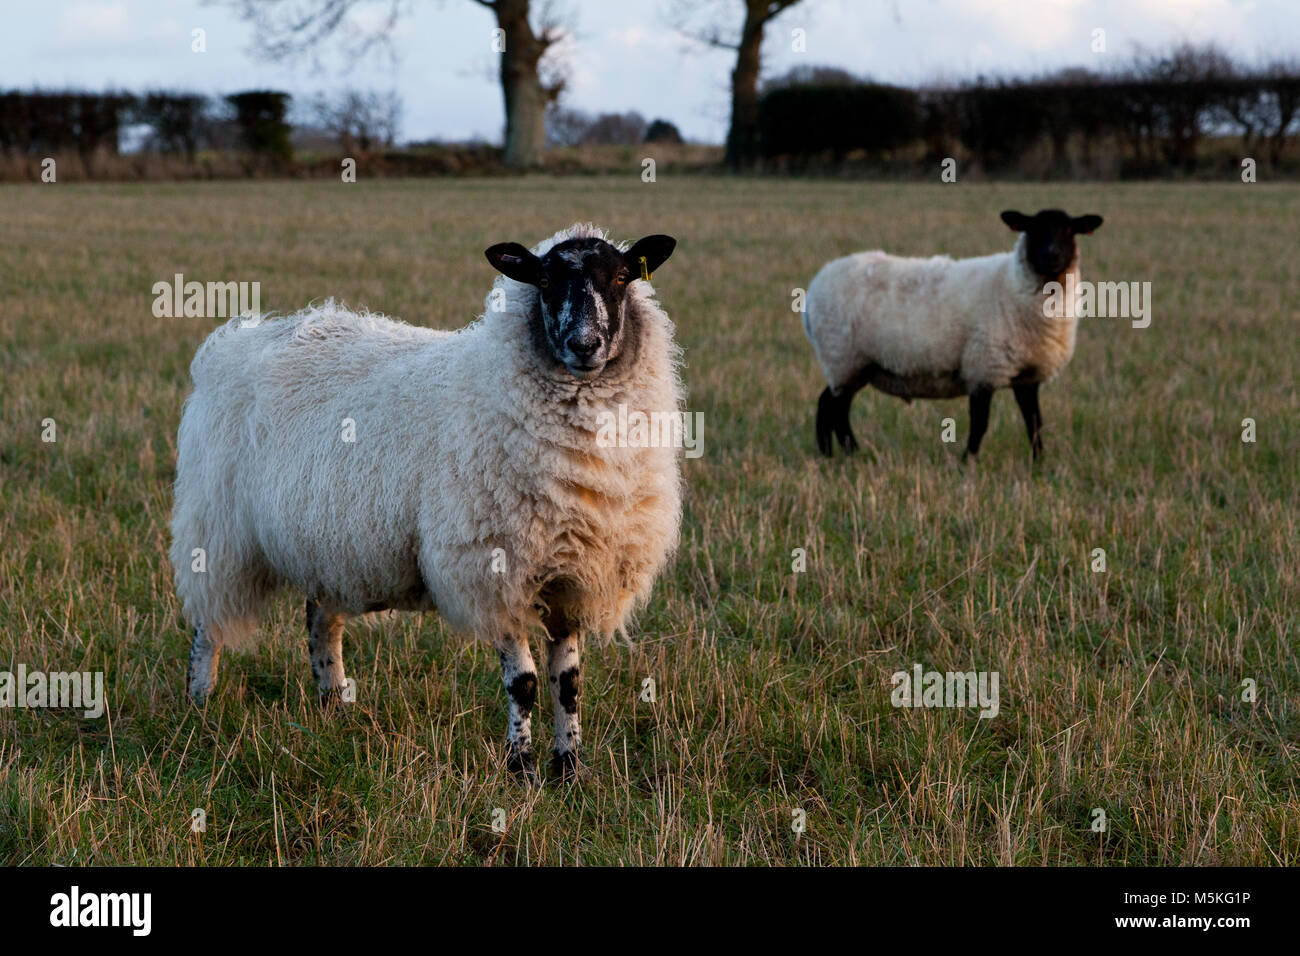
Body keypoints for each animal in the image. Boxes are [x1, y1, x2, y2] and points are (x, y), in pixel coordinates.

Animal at [170, 222, 681, 780]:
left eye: (622, 276)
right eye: (544, 281)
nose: (584, 344)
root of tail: (239, 340)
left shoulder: (574, 575)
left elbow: (567, 683)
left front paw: (569, 768)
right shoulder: (489, 571)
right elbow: (523, 683)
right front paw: (521, 768)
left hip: (329, 542)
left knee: (319, 620)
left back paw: (335, 703)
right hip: (218, 528)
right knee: (207, 625)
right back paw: (200, 702)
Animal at [803, 208, 1104, 461]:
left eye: (1070, 230)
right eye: (1033, 229)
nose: (1052, 256)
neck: (1011, 283)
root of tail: (813, 288)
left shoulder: (1027, 376)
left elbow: (1035, 423)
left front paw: (1039, 464)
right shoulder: (983, 367)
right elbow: (980, 423)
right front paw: (967, 463)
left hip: (851, 366)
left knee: (826, 404)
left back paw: (829, 454)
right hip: (843, 359)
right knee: (836, 409)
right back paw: (852, 453)